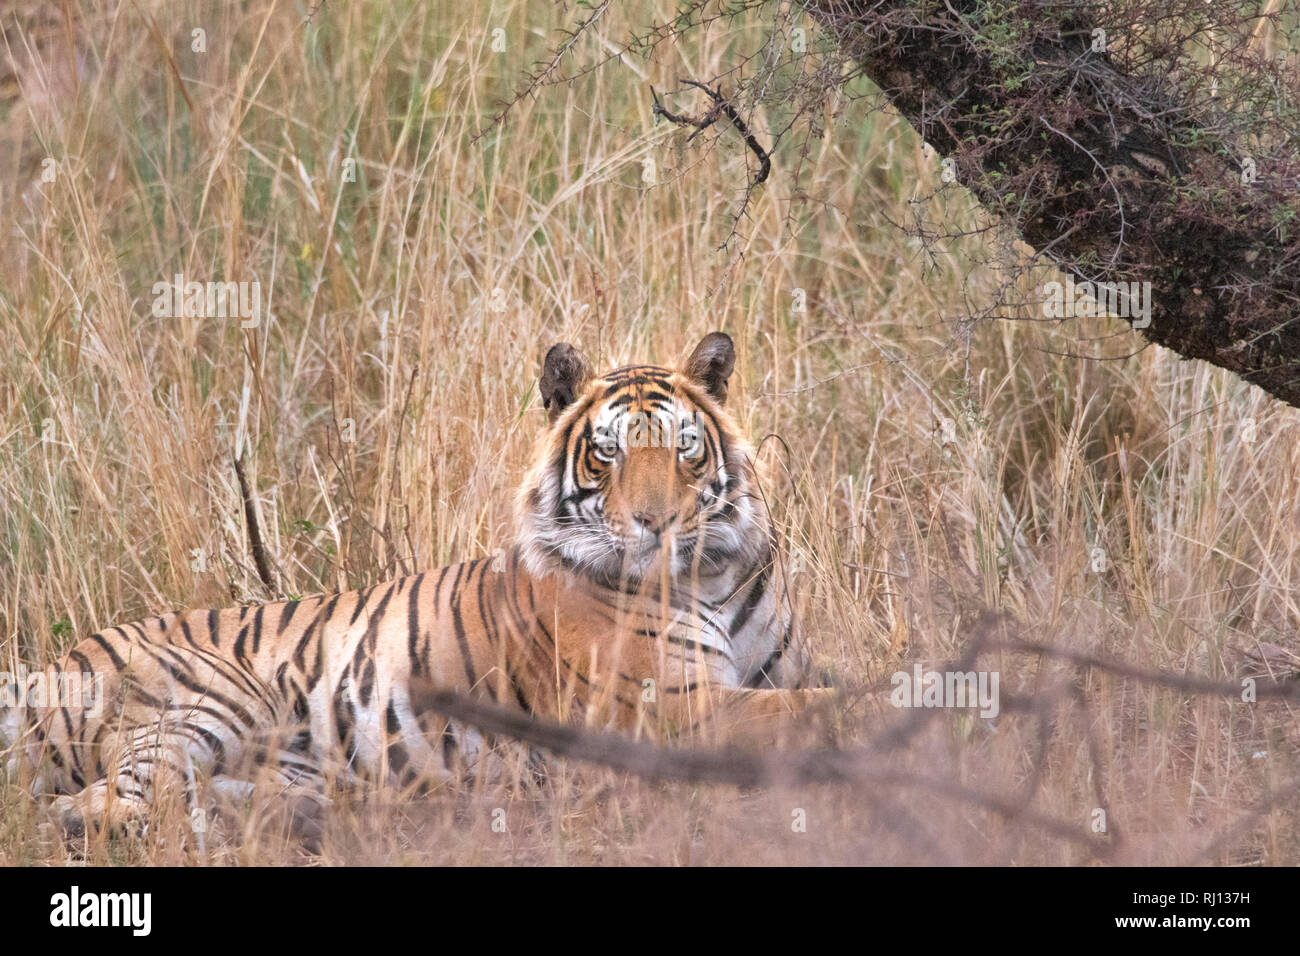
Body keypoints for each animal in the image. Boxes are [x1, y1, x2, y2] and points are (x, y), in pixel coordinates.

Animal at [0, 332, 823, 837]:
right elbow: (810, 713)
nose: (659, 523)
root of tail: (50, 665)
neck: (710, 574)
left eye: (683, 449)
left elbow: (822, 690)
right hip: (211, 698)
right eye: (607, 454)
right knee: (102, 804)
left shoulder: (775, 666)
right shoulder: (675, 707)